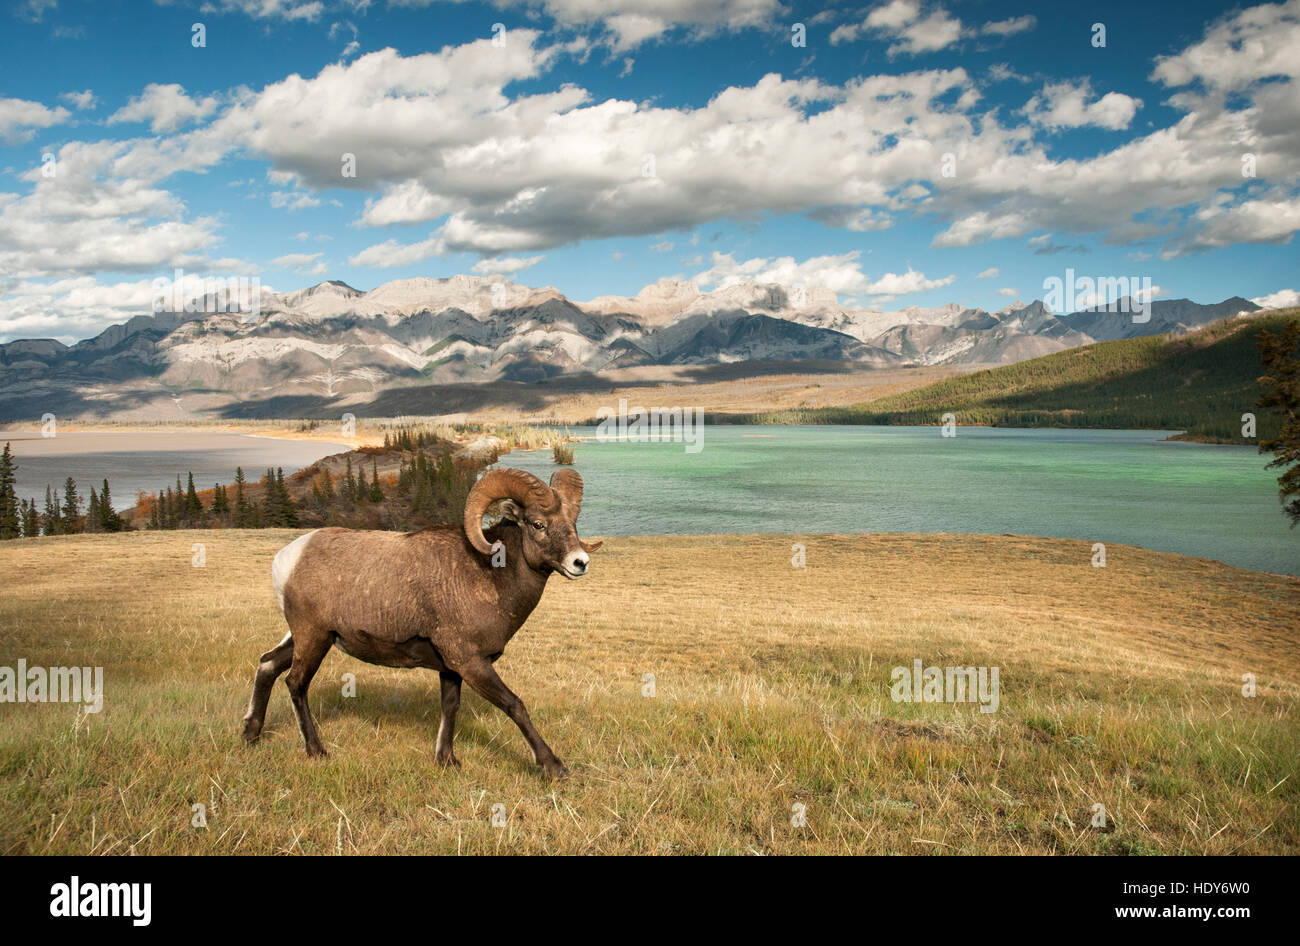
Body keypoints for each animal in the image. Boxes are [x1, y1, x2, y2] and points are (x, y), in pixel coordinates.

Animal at [240, 466, 602, 780]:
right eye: (538, 524)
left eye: (573, 523)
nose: (579, 562)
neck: (489, 577)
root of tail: (287, 559)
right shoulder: (471, 662)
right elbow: (515, 705)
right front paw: (554, 768)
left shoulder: (451, 668)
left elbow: (450, 707)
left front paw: (447, 760)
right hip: (313, 637)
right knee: (295, 683)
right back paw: (316, 751)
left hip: (306, 638)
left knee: (267, 664)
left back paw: (250, 734)